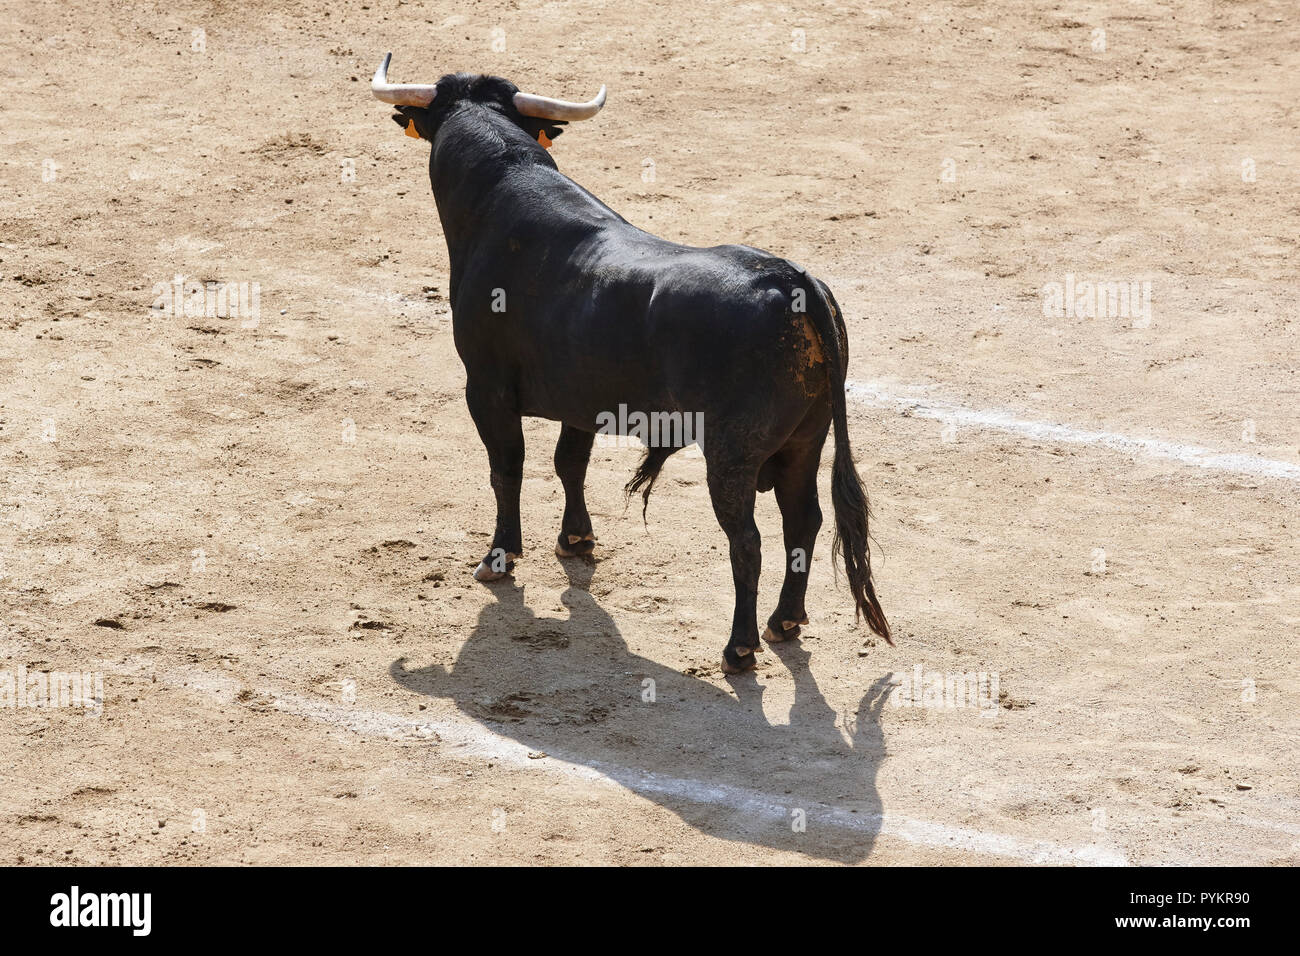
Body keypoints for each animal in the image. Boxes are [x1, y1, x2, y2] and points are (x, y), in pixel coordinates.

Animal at [370, 54, 891, 673]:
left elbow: (507, 468)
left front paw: (498, 557)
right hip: (805, 441)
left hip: (731, 454)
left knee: (747, 540)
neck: (499, 190)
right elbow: (569, 462)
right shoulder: (580, 396)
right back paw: (784, 621)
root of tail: (791, 280)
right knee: (803, 520)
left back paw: (739, 646)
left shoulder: (486, 386)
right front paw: (576, 540)